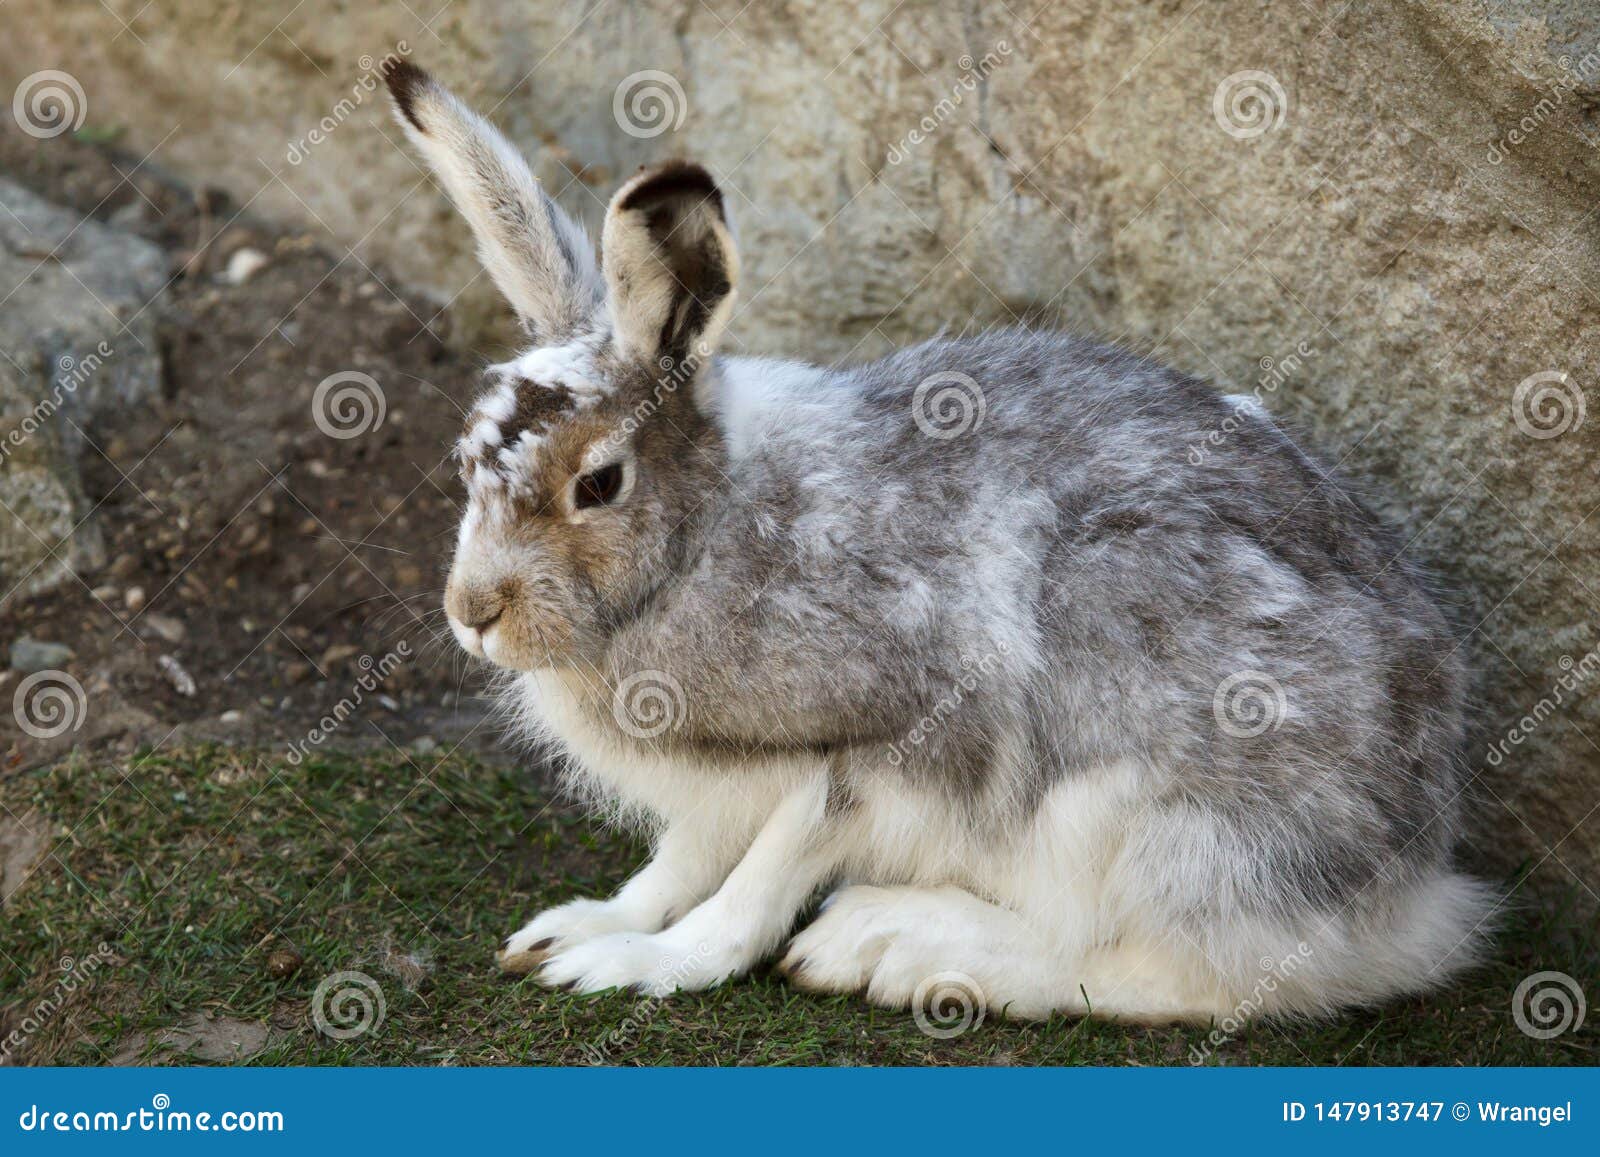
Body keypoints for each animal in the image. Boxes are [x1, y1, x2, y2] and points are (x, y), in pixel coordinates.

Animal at [384, 61, 1494, 1023]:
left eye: (598, 483)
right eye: (464, 459)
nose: (473, 614)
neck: (706, 534)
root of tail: (1412, 878)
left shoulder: (874, 744)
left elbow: (754, 886)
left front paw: (641, 963)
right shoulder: (723, 788)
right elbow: (681, 862)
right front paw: (578, 928)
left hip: (1141, 793)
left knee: (1176, 967)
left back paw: (897, 946)